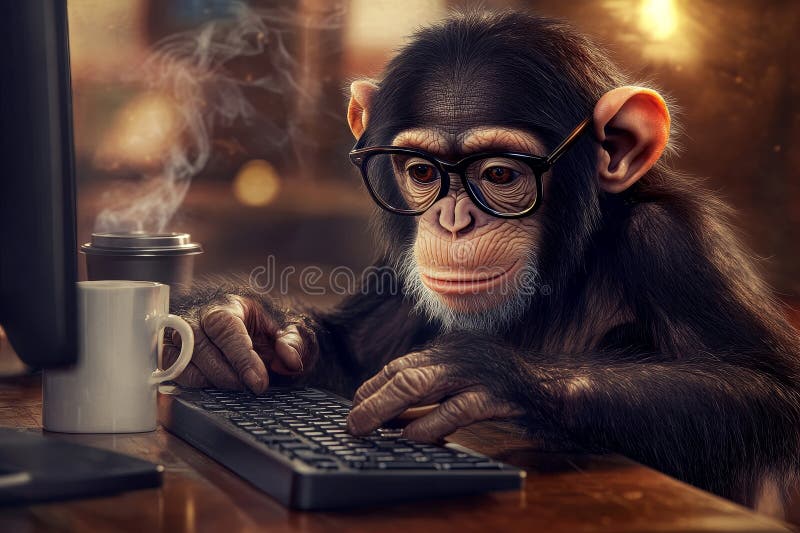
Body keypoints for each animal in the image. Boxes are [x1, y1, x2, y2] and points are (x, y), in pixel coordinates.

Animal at [166, 10, 800, 506]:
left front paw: (482, 373)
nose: (452, 220)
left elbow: (763, 390)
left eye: (498, 174)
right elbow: (345, 357)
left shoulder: (671, 245)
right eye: (422, 173)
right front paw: (230, 328)